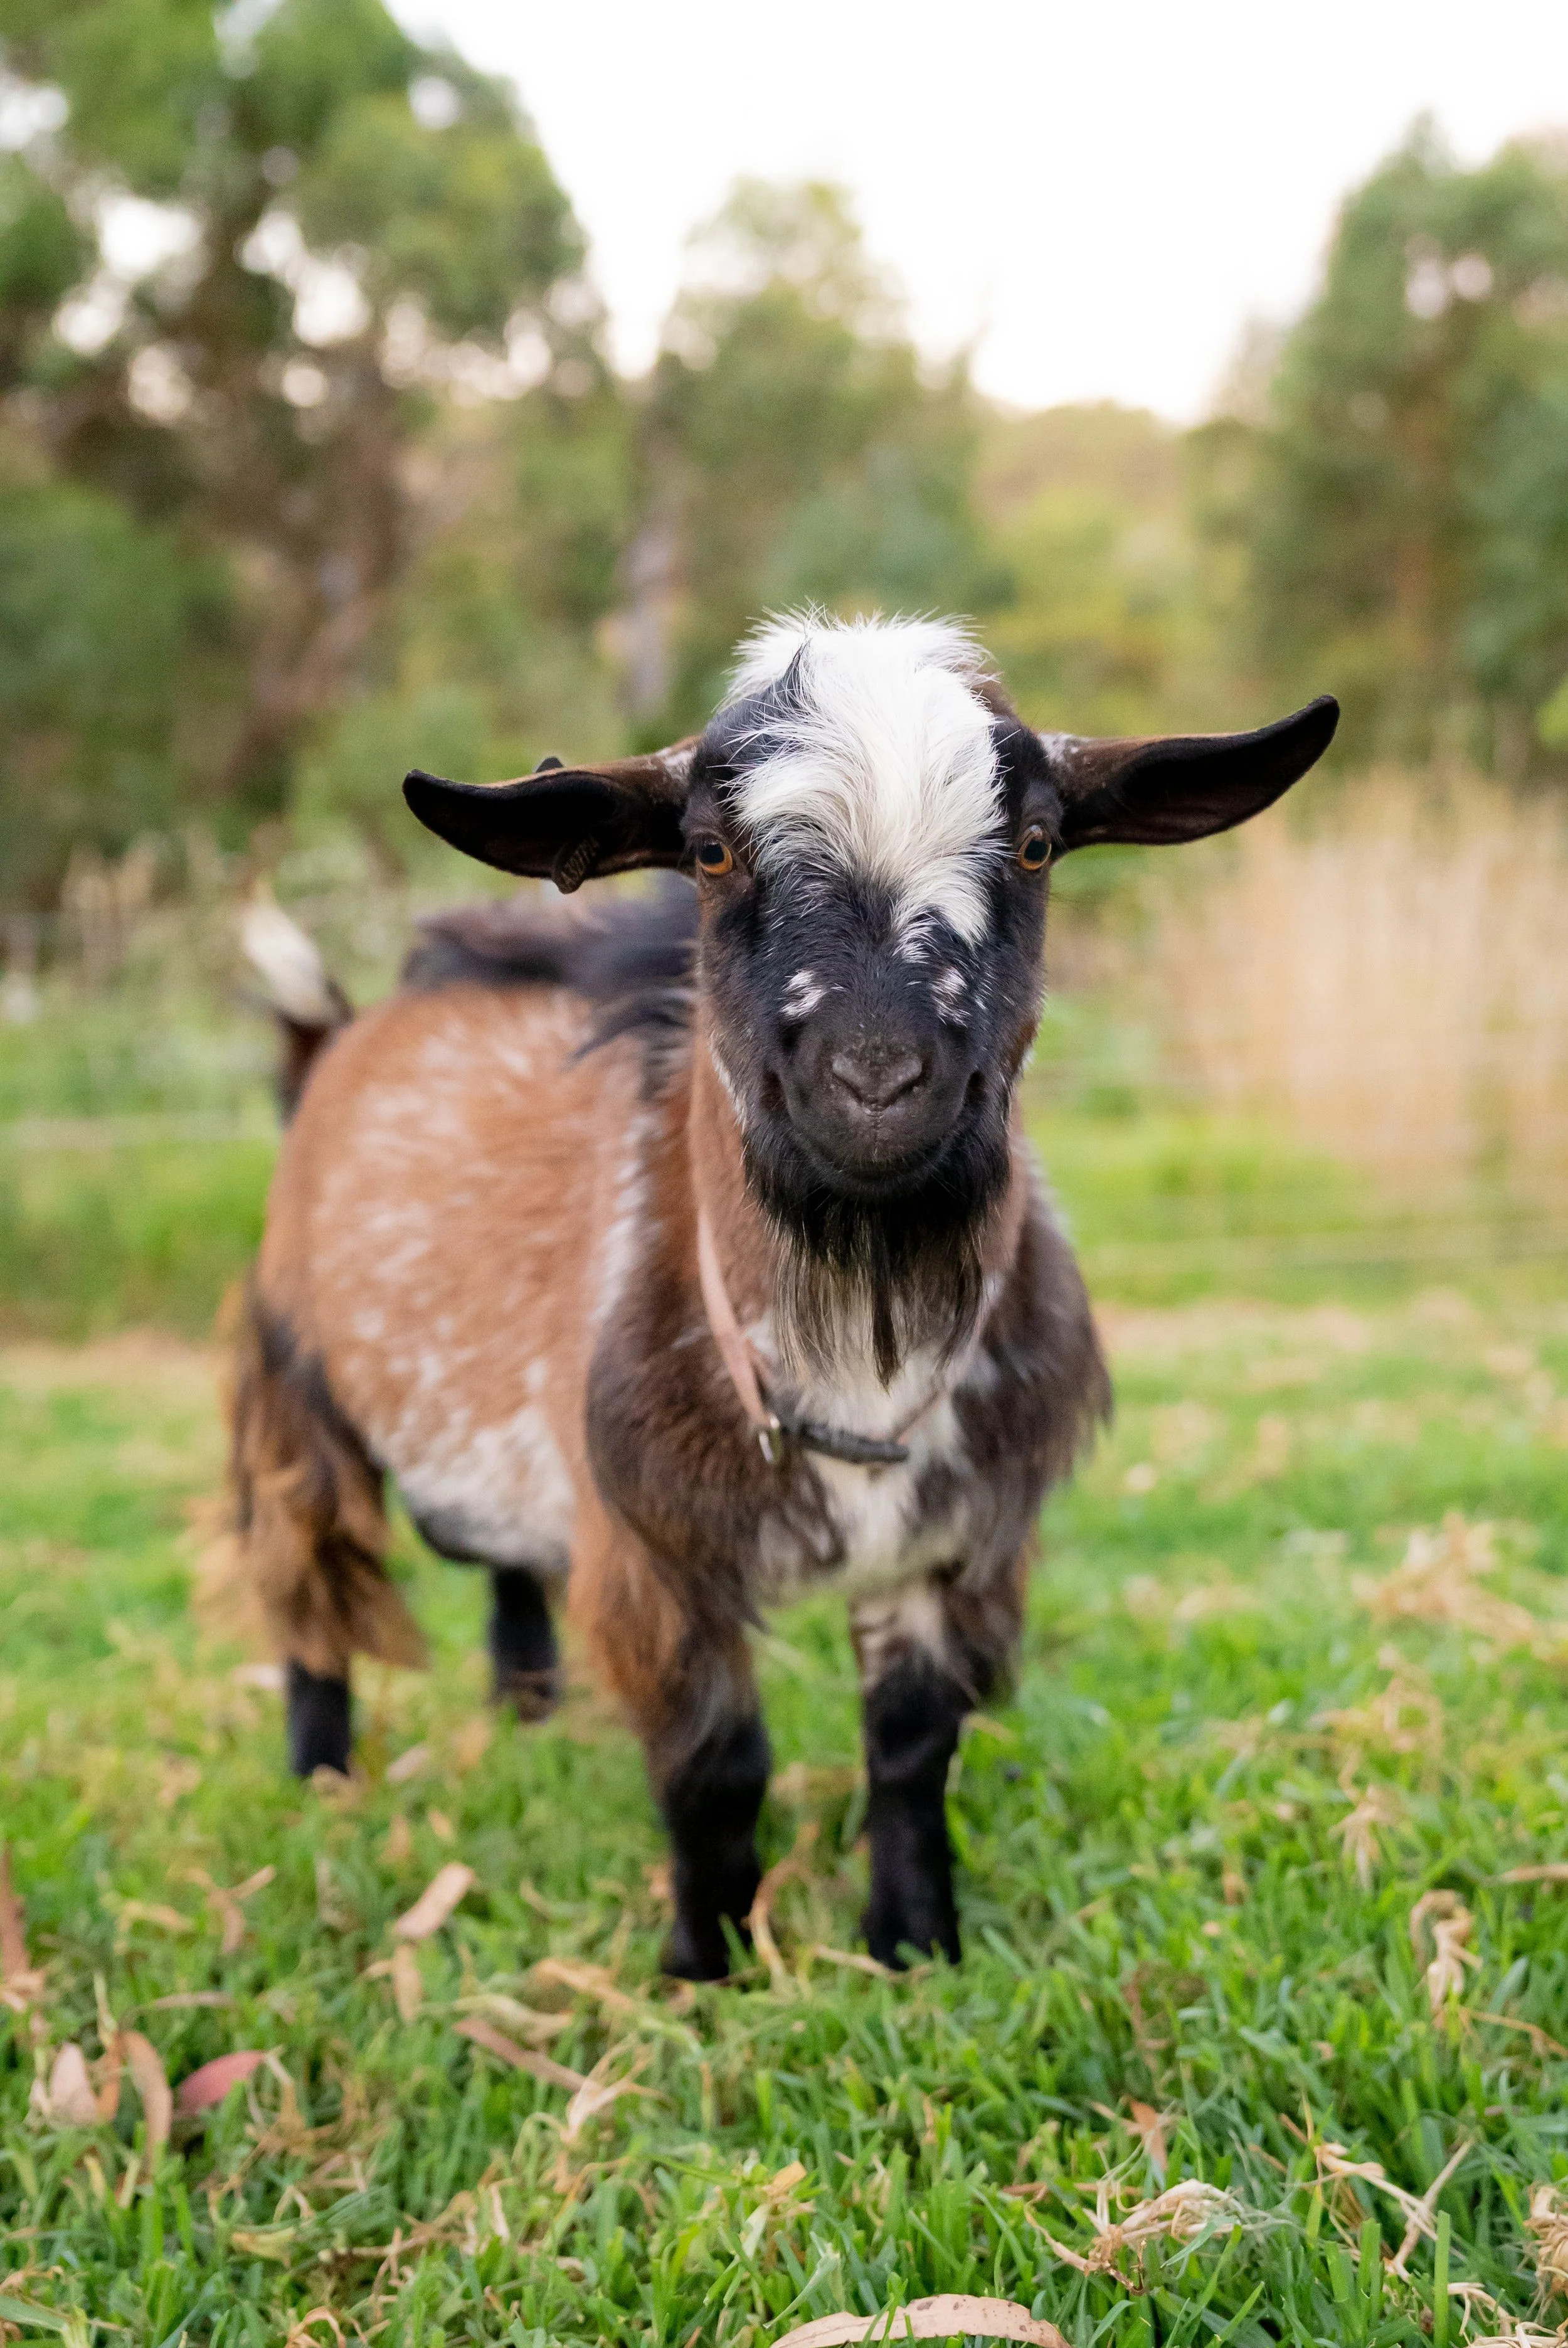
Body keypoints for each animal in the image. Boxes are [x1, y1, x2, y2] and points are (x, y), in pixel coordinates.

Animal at [228, 614, 1336, 1977]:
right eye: (709, 849)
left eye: (1033, 841)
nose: (876, 1077)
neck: (856, 1332)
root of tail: (329, 1043)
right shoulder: (655, 1550)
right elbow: (714, 1763)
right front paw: (707, 1960)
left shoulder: (951, 1546)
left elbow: (911, 1747)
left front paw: (912, 1940)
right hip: (290, 1385)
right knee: (307, 1586)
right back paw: (322, 1779)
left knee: (504, 1577)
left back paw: (527, 1715)